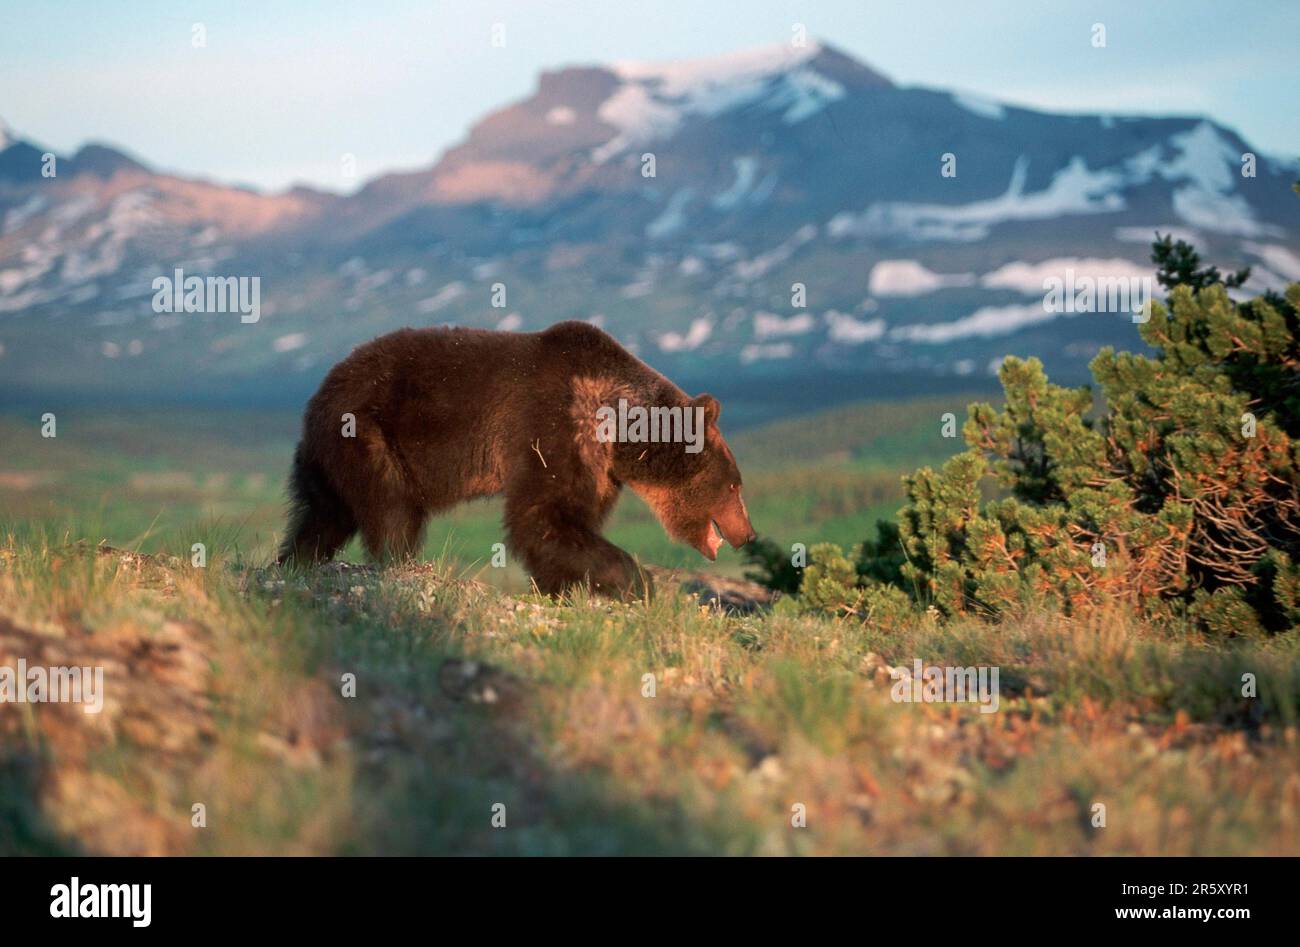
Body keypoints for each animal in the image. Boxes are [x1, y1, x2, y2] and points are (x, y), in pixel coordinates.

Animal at [276, 320, 756, 598]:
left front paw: (562, 586)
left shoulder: (600, 466)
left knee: (321, 517)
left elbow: (568, 520)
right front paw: (639, 581)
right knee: (392, 510)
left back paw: (294, 562)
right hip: (369, 434)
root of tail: (317, 398)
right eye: (734, 484)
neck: (618, 425)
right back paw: (400, 563)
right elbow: (543, 514)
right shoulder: (556, 422)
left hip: (326, 461)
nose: (748, 533)